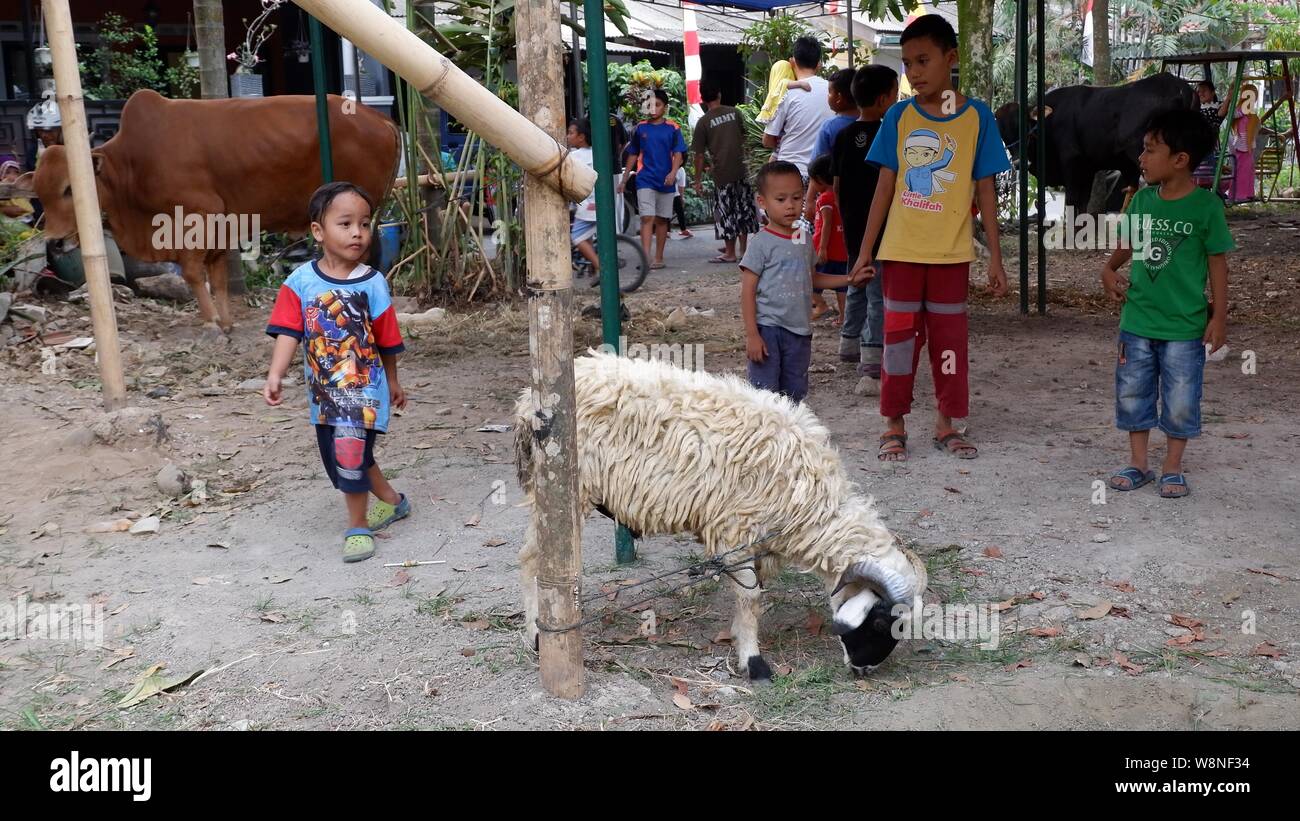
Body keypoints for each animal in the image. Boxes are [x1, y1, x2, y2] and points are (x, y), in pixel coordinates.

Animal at [514, 350, 926, 680]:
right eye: (882, 620)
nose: (865, 668)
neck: (812, 505)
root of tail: (527, 402)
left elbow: (752, 593)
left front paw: (740, 639)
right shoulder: (736, 529)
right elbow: (749, 598)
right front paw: (754, 662)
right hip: (562, 490)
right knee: (532, 559)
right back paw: (537, 635)